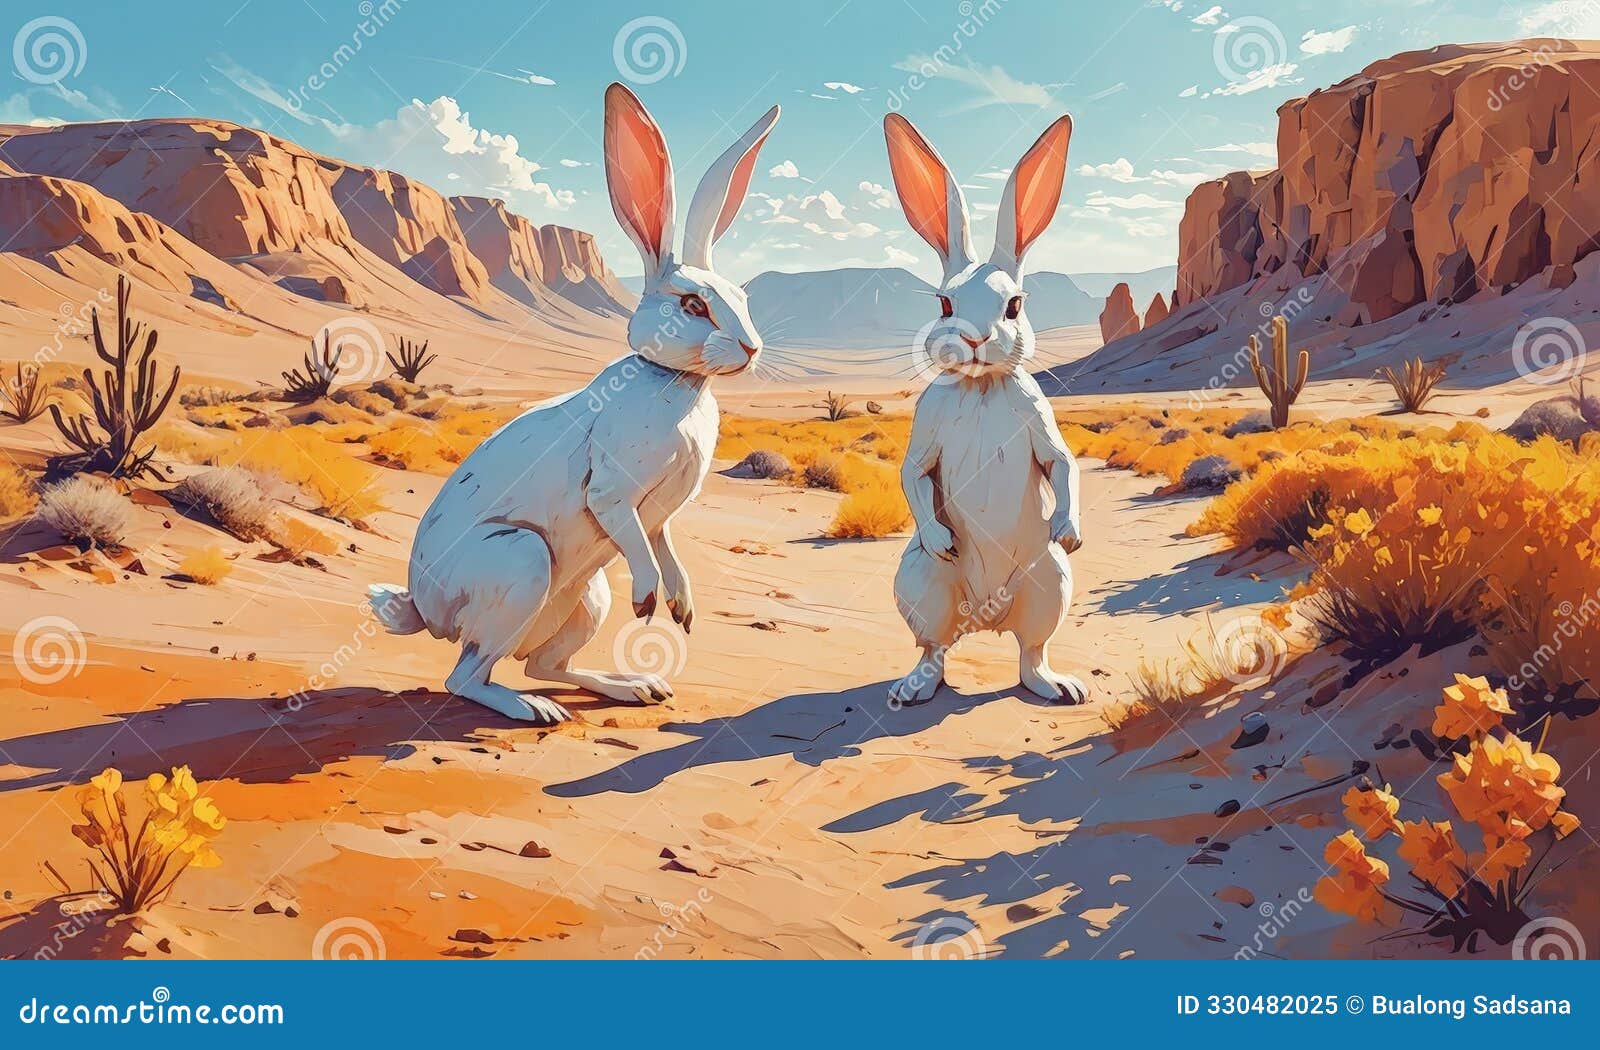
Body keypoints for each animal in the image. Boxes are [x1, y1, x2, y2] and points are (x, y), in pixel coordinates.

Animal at [366, 83, 779, 724]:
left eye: (741, 296)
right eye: (692, 305)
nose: (752, 347)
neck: (678, 382)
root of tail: (424, 610)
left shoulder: (660, 514)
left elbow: (665, 544)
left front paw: (682, 608)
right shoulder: (612, 493)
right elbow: (636, 540)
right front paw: (649, 602)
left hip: (586, 596)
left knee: (542, 664)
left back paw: (635, 687)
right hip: (523, 564)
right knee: (468, 675)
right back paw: (532, 709)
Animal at [880, 111, 1087, 709]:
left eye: (1014, 305)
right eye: (945, 304)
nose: (974, 339)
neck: (981, 387)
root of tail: (984, 617)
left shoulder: (1038, 417)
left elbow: (1063, 464)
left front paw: (1069, 528)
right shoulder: (926, 425)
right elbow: (913, 472)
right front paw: (940, 537)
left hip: (1050, 585)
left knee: (1030, 652)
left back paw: (1058, 688)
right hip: (920, 587)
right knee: (934, 649)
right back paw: (913, 688)